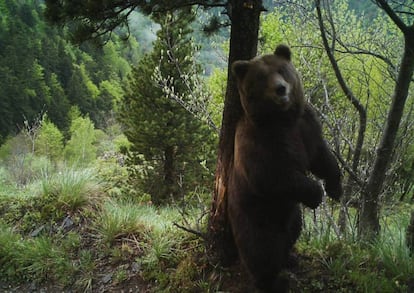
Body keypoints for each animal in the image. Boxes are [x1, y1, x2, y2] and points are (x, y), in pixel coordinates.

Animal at [228, 44, 342, 290]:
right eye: (262, 77)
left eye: (281, 70)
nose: (281, 89)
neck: (282, 119)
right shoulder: (260, 143)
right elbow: (272, 176)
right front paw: (316, 193)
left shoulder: (306, 125)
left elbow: (321, 156)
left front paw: (335, 188)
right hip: (254, 217)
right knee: (261, 251)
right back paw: (273, 280)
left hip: (291, 215)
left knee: (293, 232)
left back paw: (290, 258)